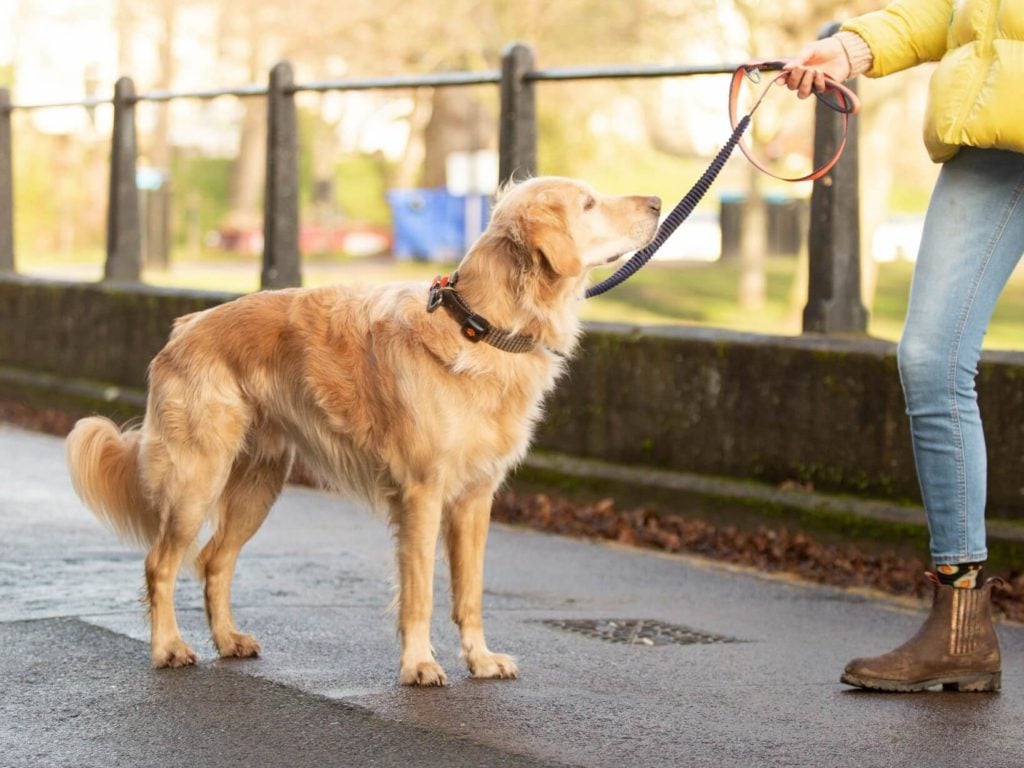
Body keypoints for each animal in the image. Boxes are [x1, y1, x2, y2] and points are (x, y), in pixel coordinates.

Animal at [68, 177, 663, 688]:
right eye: (588, 203)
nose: (658, 202)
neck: (480, 328)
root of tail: (184, 328)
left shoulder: (475, 500)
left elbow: (468, 593)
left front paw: (480, 659)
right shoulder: (422, 496)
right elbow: (420, 593)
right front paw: (419, 664)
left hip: (258, 487)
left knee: (213, 561)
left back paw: (228, 640)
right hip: (197, 481)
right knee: (160, 564)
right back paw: (168, 647)